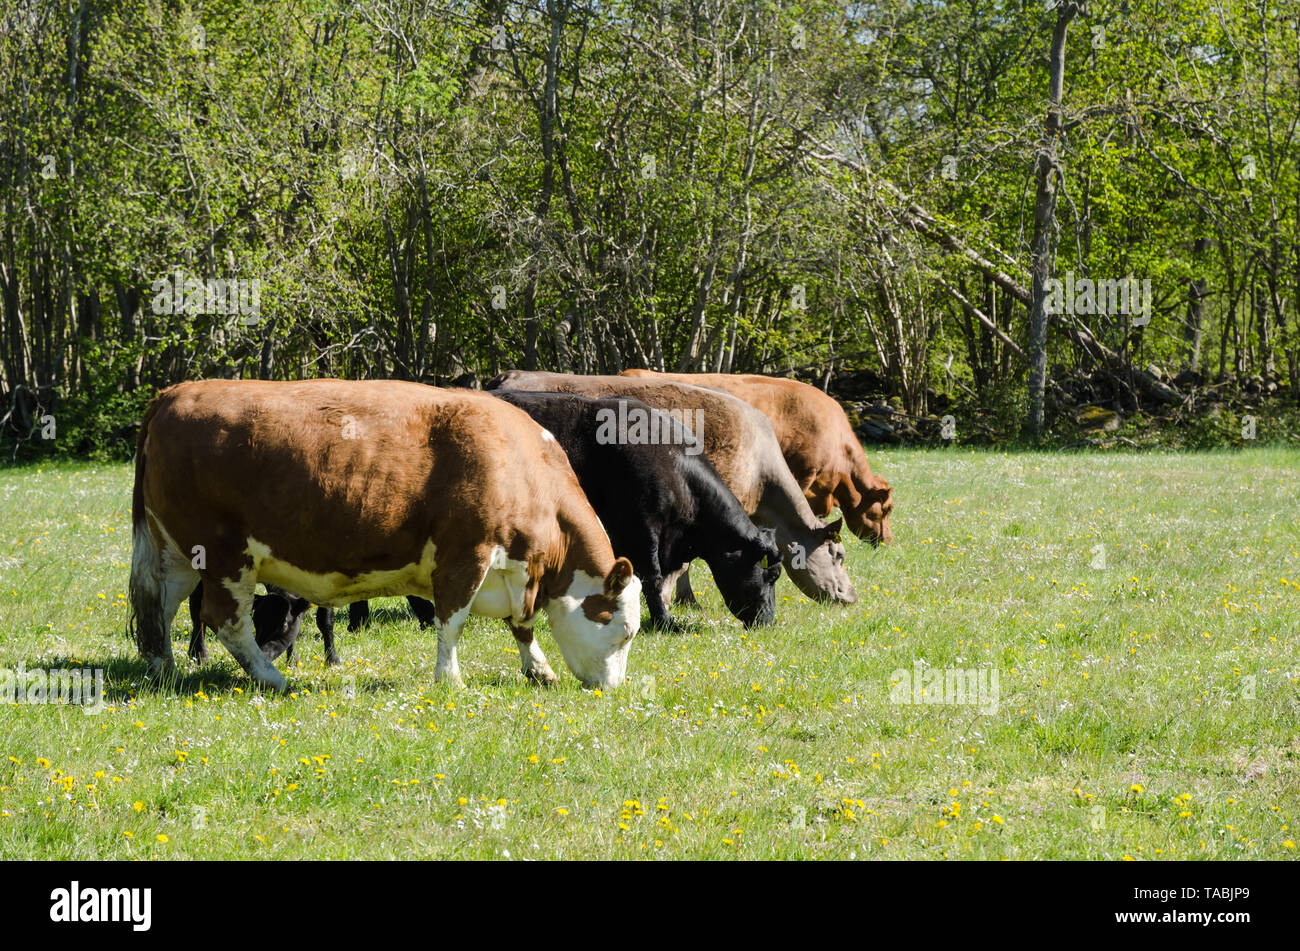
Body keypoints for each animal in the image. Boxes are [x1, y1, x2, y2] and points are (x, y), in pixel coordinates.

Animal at [128, 379, 642, 692]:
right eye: (625, 631)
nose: (612, 689)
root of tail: (175, 393)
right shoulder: (465, 554)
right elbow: (451, 622)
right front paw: (450, 679)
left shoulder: (516, 570)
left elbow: (521, 624)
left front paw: (539, 668)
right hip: (224, 554)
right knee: (224, 619)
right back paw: (271, 677)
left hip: (175, 551)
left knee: (158, 606)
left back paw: (164, 669)